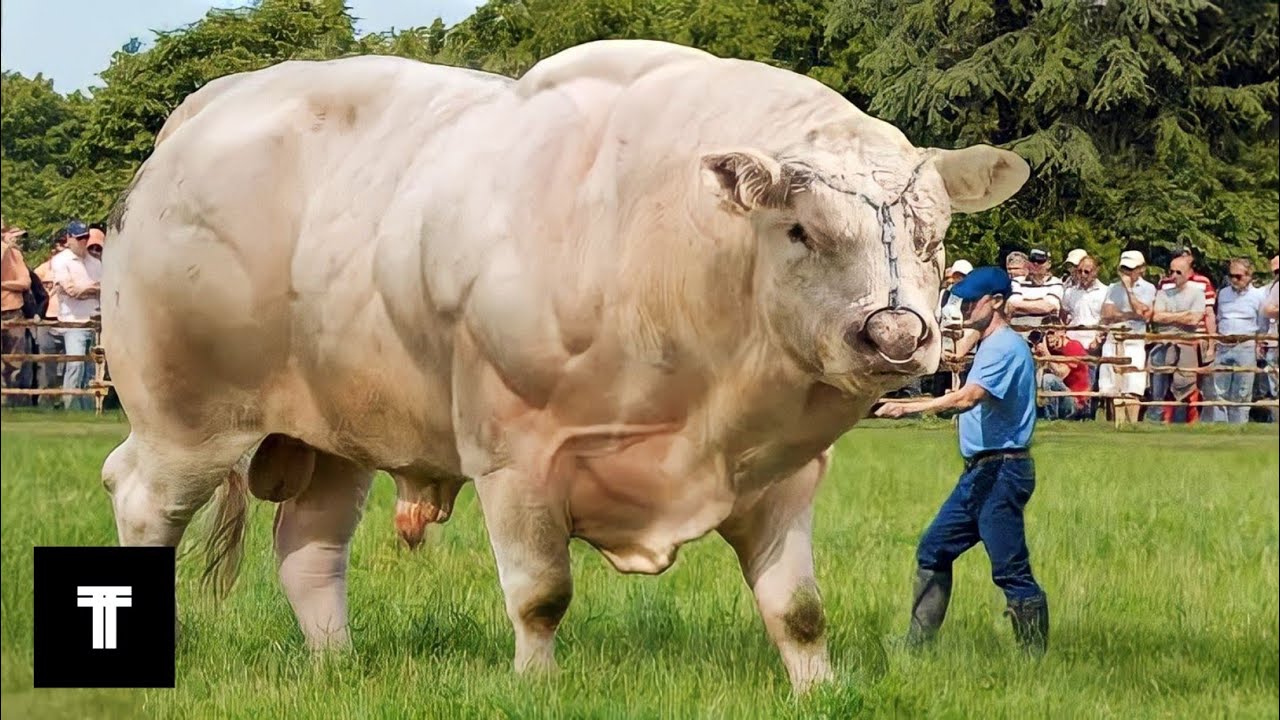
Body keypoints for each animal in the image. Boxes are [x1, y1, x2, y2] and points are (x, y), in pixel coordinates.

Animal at [99, 39, 1029, 692]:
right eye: (801, 229)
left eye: (935, 235)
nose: (897, 336)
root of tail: (207, 107)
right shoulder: (516, 456)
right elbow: (540, 592)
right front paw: (535, 685)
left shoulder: (785, 475)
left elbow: (797, 610)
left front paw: (818, 689)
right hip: (188, 418)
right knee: (144, 503)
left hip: (333, 429)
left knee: (309, 549)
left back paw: (336, 665)